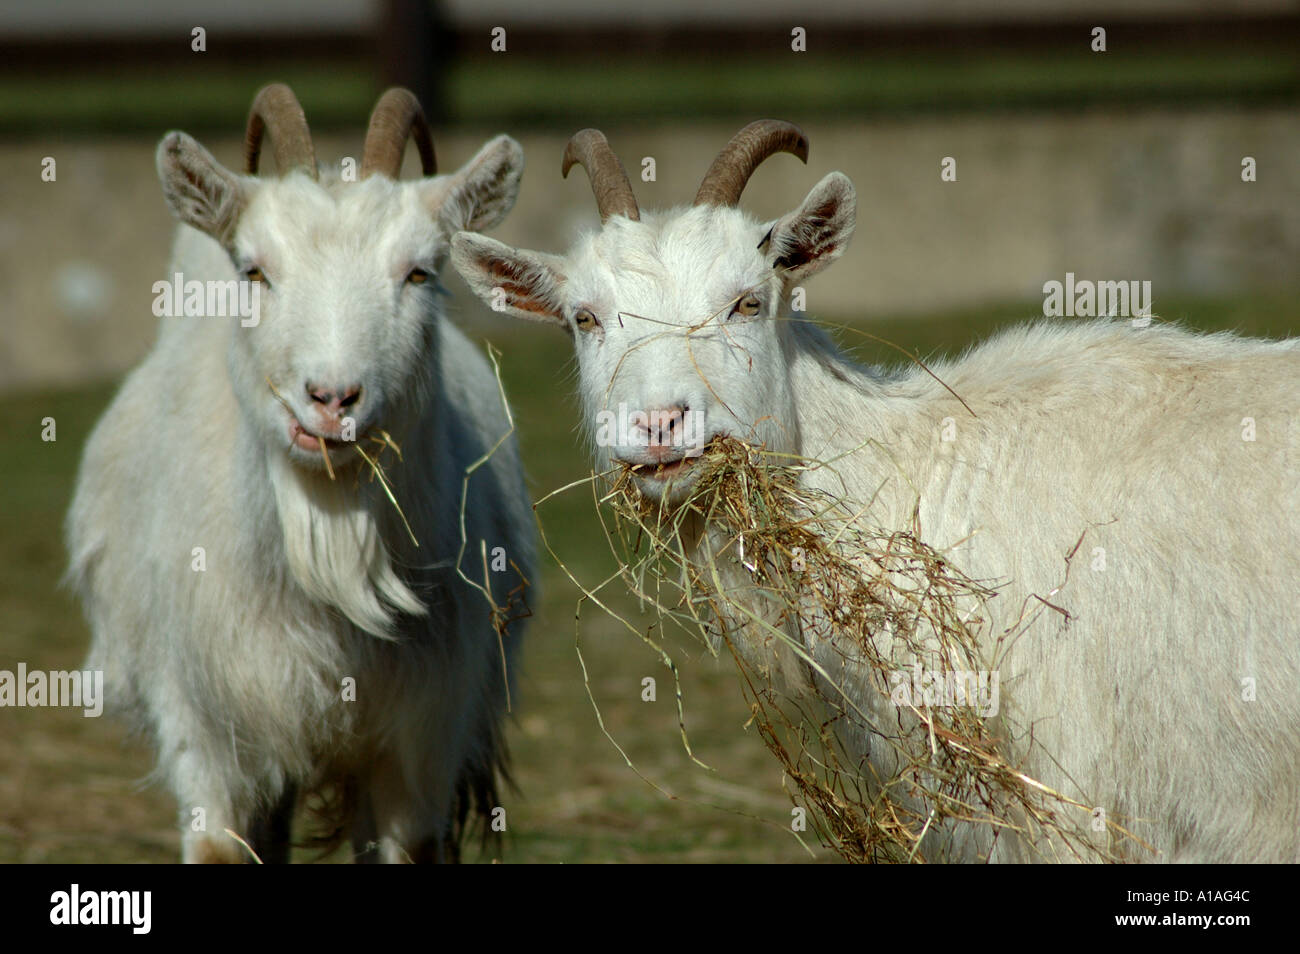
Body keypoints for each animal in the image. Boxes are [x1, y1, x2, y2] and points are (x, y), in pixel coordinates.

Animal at [66, 85, 534, 863]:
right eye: (254, 271)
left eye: (420, 273)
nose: (332, 398)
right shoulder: (205, 723)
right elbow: (221, 845)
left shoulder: (423, 734)